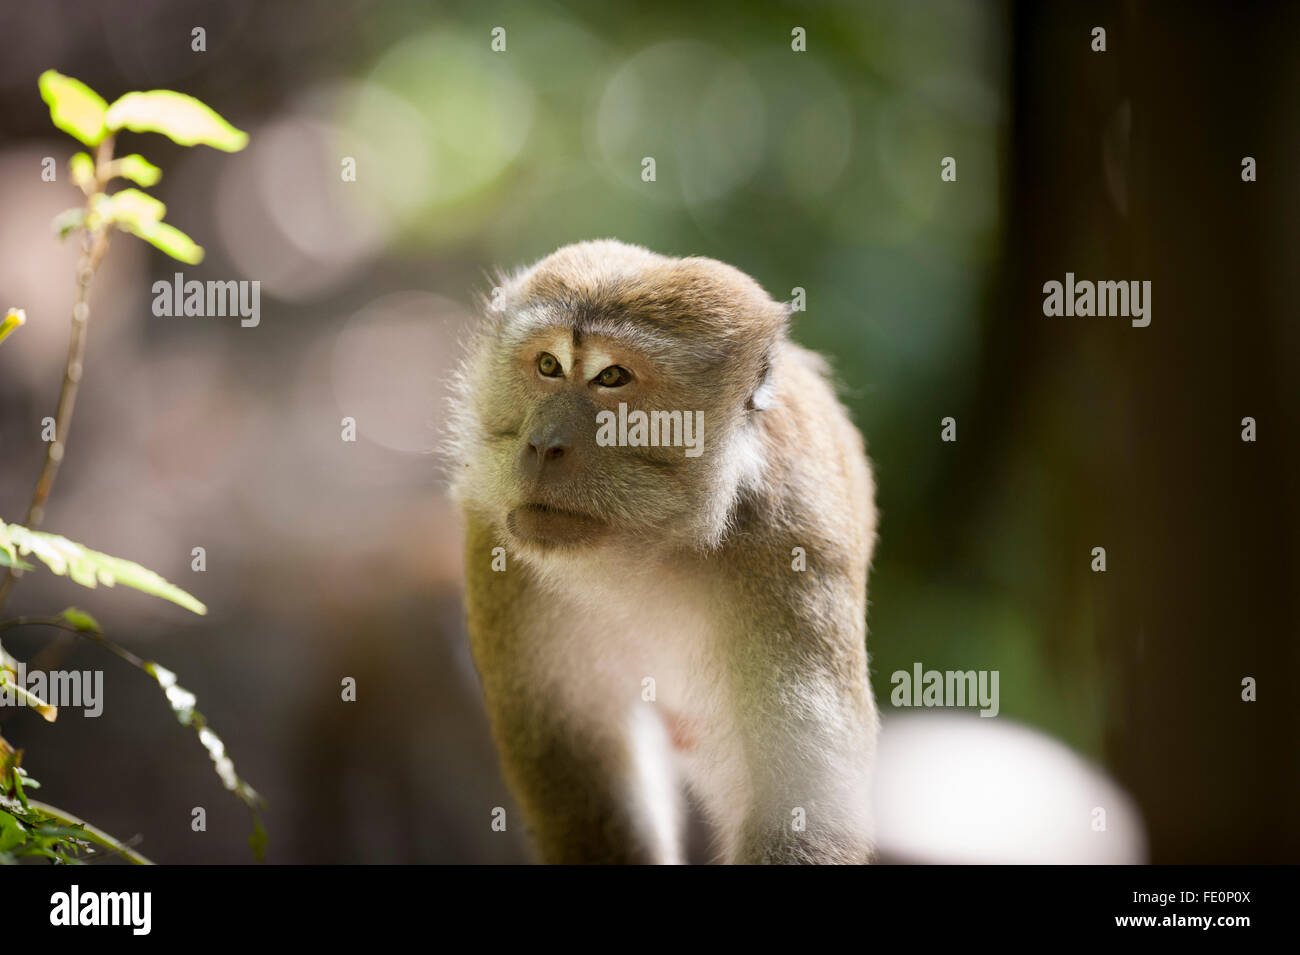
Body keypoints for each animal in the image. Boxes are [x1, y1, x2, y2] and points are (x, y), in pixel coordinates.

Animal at [447, 240, 878, 864]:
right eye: (549, 365)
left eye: (612, 377)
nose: (543, 443)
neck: (645, 550)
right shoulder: (495, 534)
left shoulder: (791, 538)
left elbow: (800, 811)